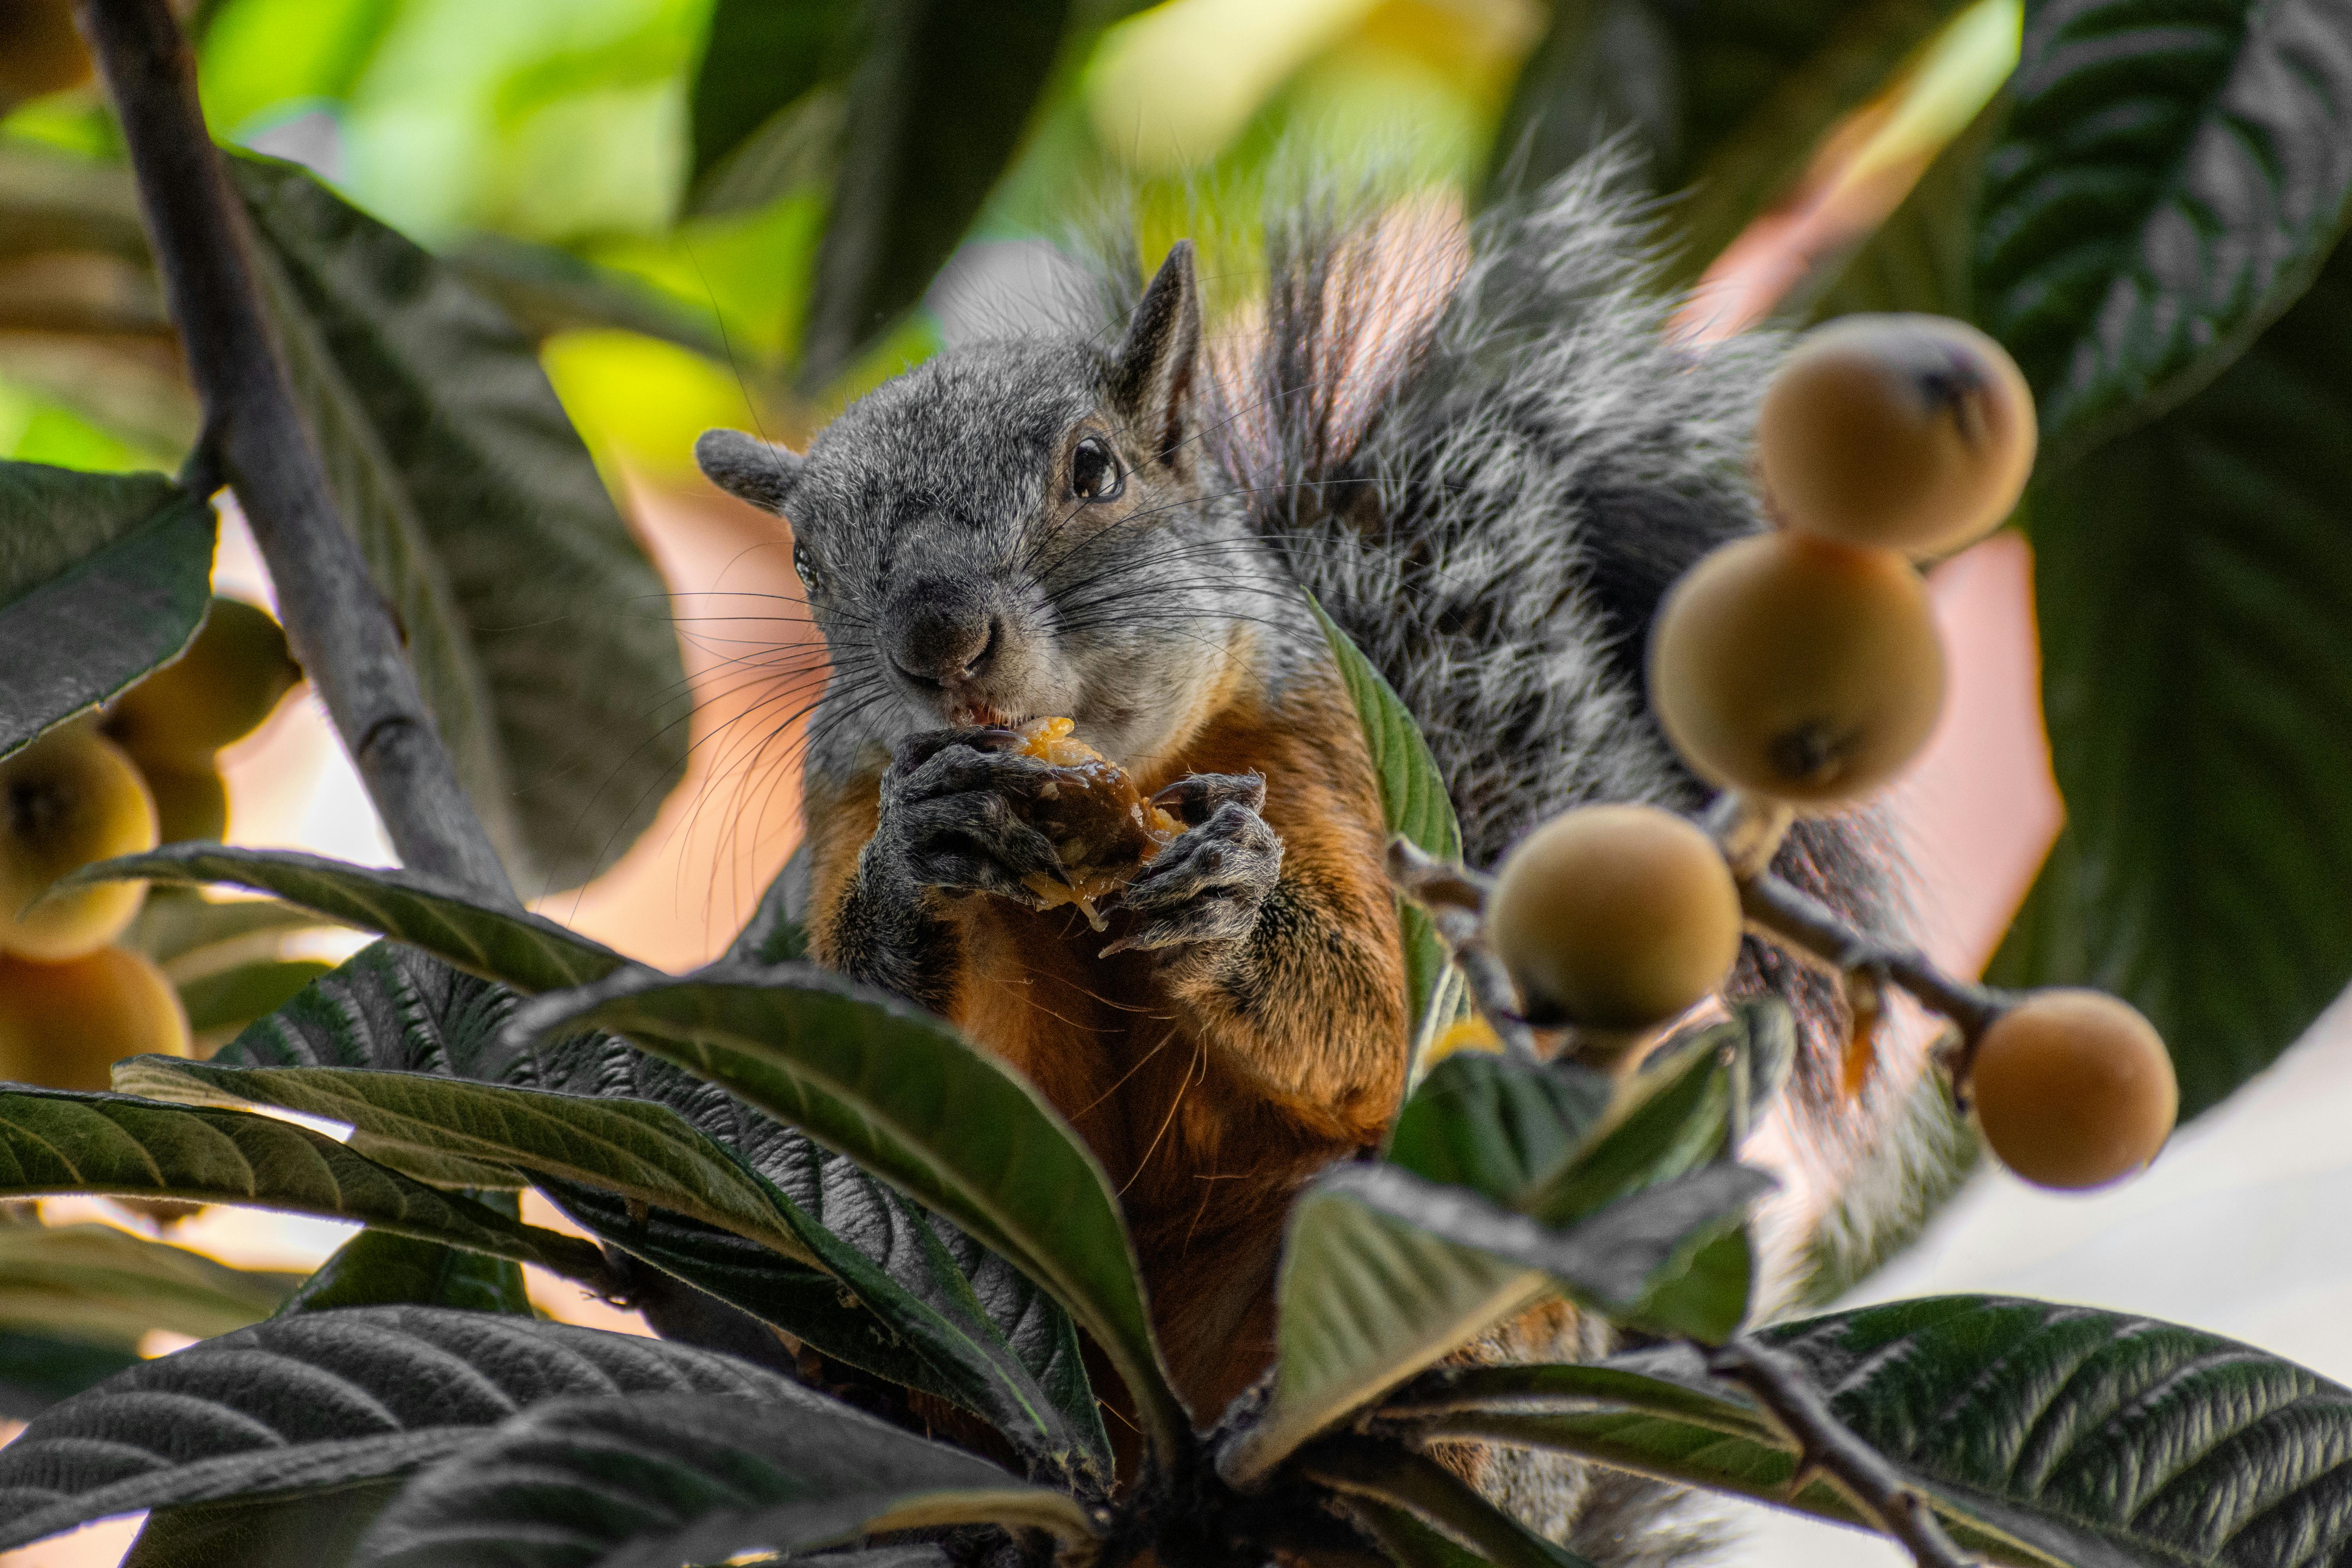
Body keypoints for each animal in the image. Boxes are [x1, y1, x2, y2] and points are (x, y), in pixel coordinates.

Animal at [696, 156, 1890, 1554]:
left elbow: (1371, 1026)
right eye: (804, 558)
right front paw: (920, 860)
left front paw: (1230, 905)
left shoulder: (1334, 764)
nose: (940, 640)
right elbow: (934, 1049)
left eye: (1093, 470)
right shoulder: (839, 805)